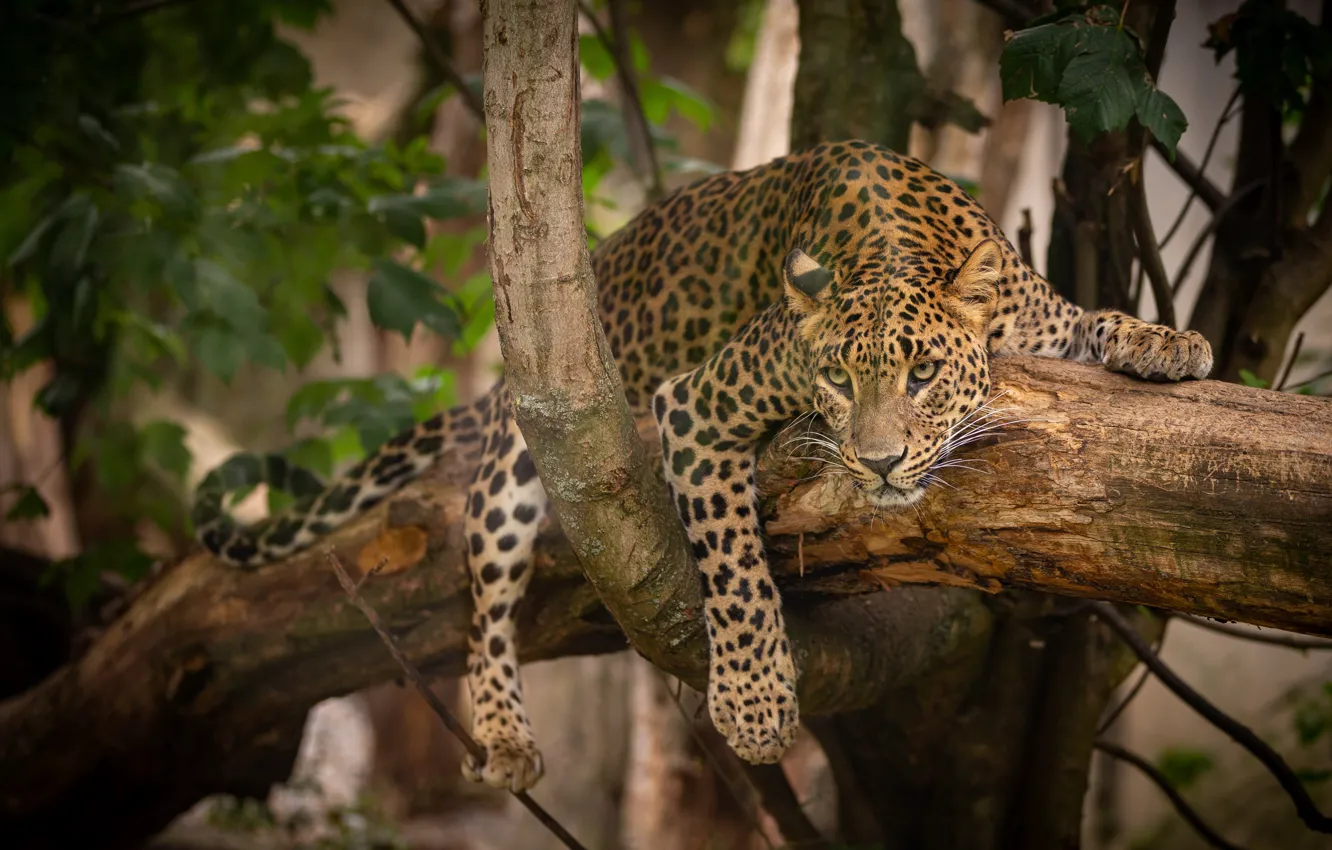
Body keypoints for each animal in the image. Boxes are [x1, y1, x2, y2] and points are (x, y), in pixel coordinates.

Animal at [193, 140, 1212, 793]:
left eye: (922, 374)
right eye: (836, 379)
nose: (880, 463)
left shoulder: (1040, 320)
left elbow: (1096, 320)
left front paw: (1169, 341)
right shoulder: (697, 404)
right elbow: (736, 573)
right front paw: (756, 707)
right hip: (526, 452)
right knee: (481, 596)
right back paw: (503, 731)